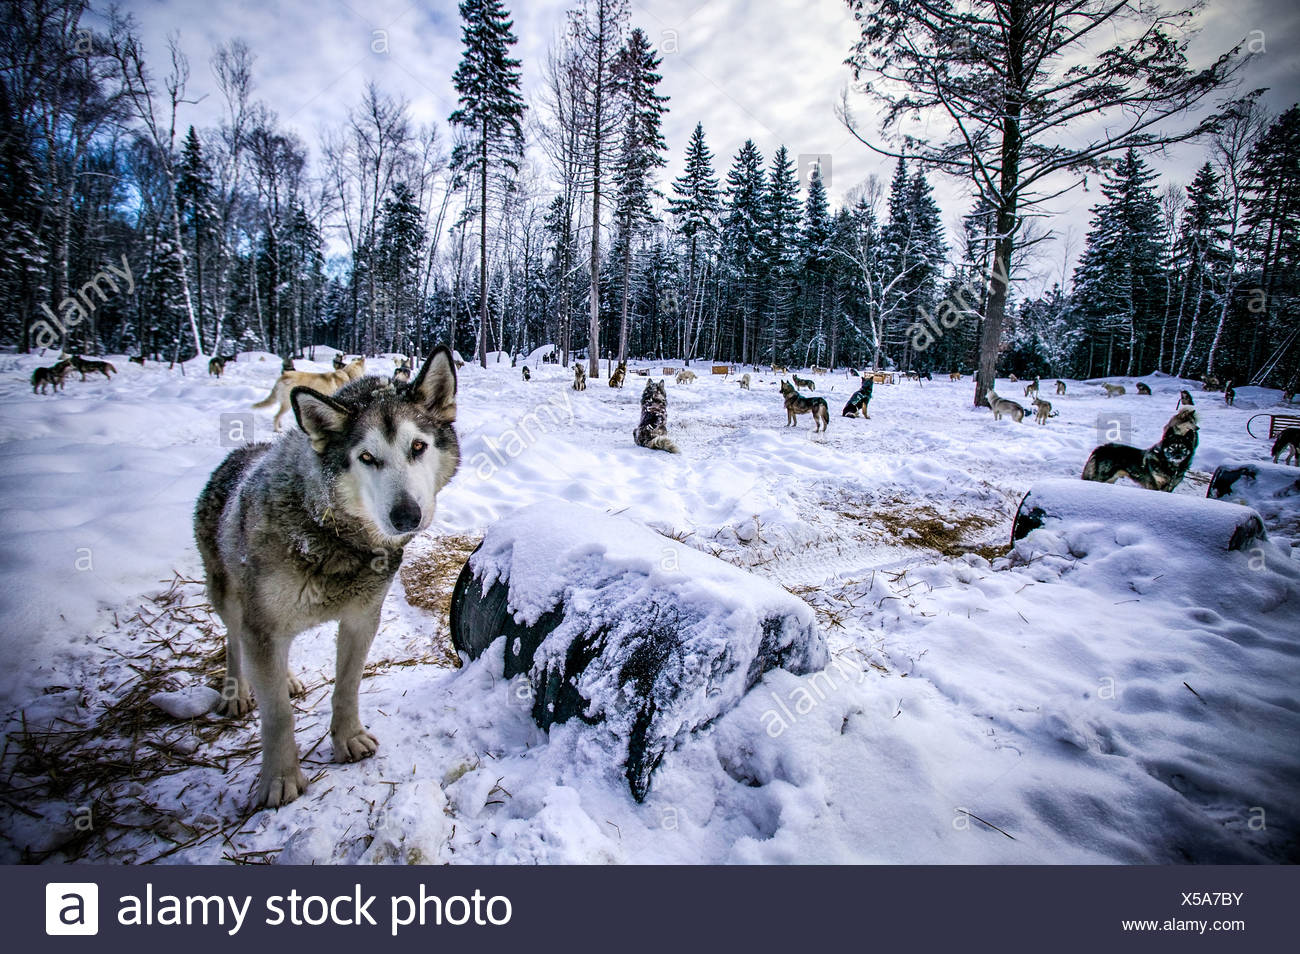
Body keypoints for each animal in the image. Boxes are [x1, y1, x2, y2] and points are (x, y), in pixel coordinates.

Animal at [195, 348, 460, 807]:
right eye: (367, 457)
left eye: (418, 447)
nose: (406, 515)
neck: (330, 534)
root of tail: (241, 451)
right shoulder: (261, 625)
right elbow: (277, 715)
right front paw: (280, 778)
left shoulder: (362, 618)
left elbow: (346, 687)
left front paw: (348, 738)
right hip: (227, 596)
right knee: (233, 640)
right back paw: (236, 692)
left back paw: (284, 678)